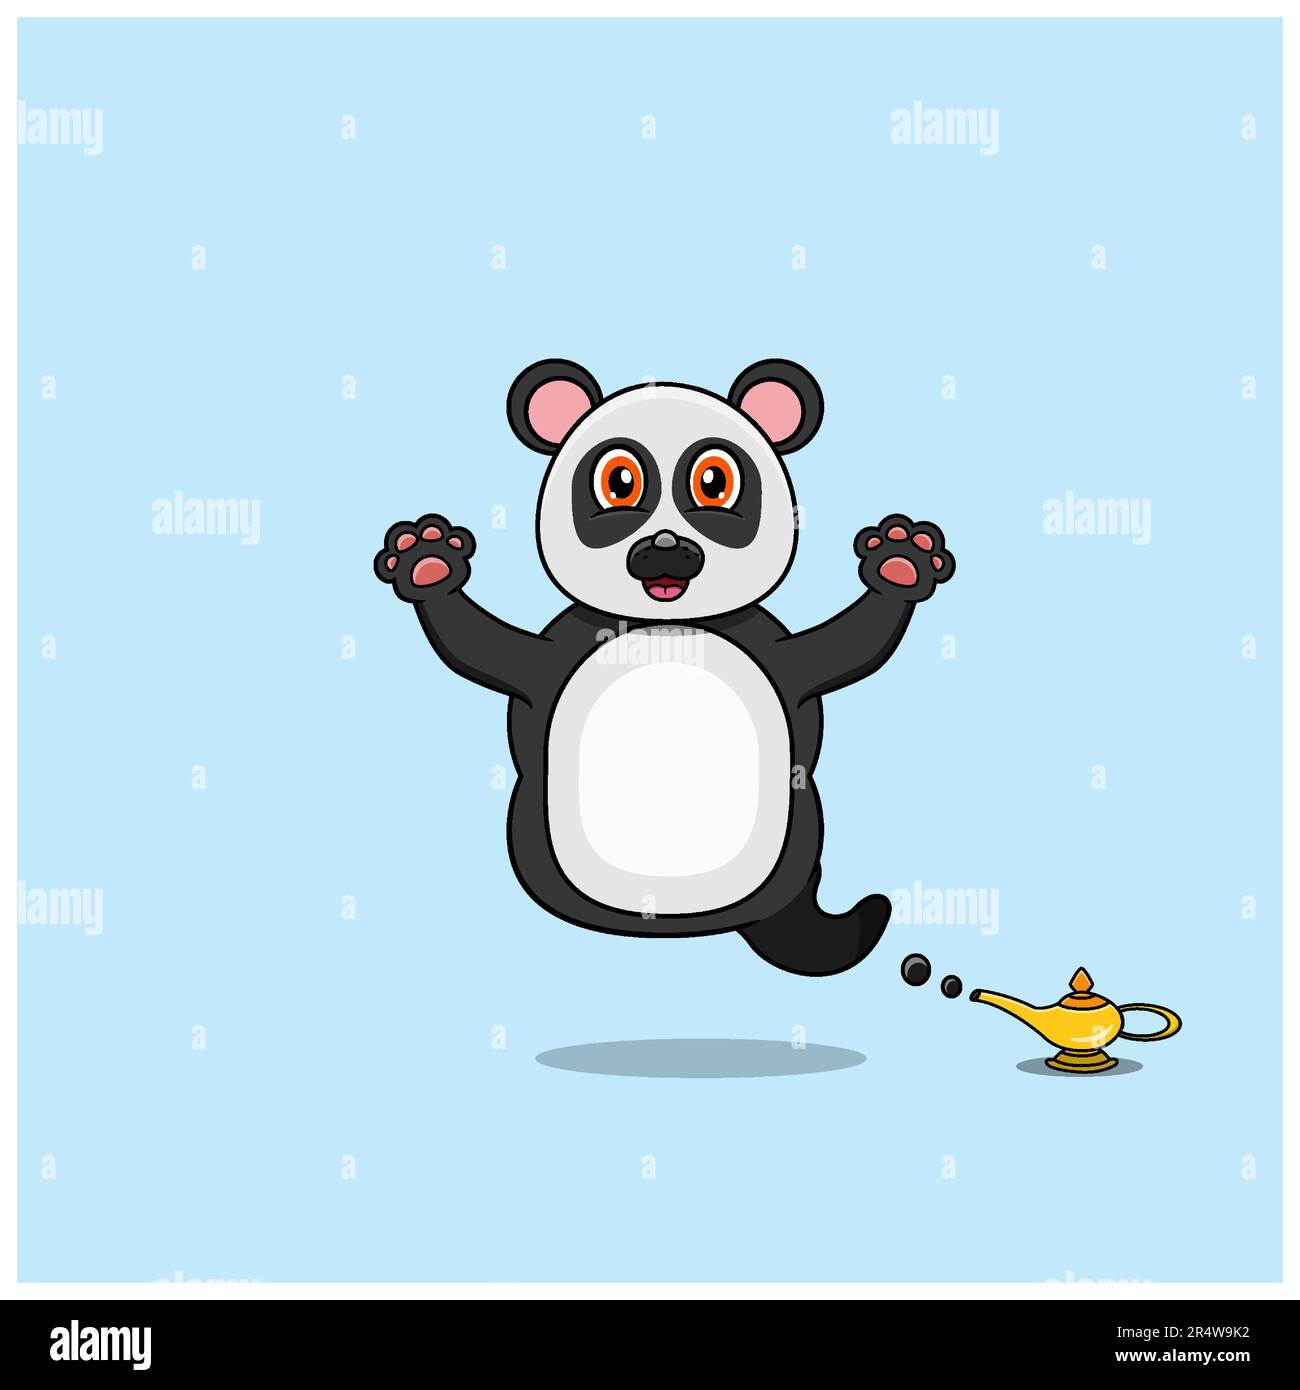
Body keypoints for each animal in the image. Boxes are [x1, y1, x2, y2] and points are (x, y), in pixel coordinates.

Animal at [375, 359, 954, 976]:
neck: (667, 625)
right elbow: (485, 648)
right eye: (618, 483)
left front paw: (899, 563)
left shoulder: (781, 657)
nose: (667, 548)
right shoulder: (550, 657)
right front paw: (429, 563)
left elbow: (845, 648)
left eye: (715, 482)